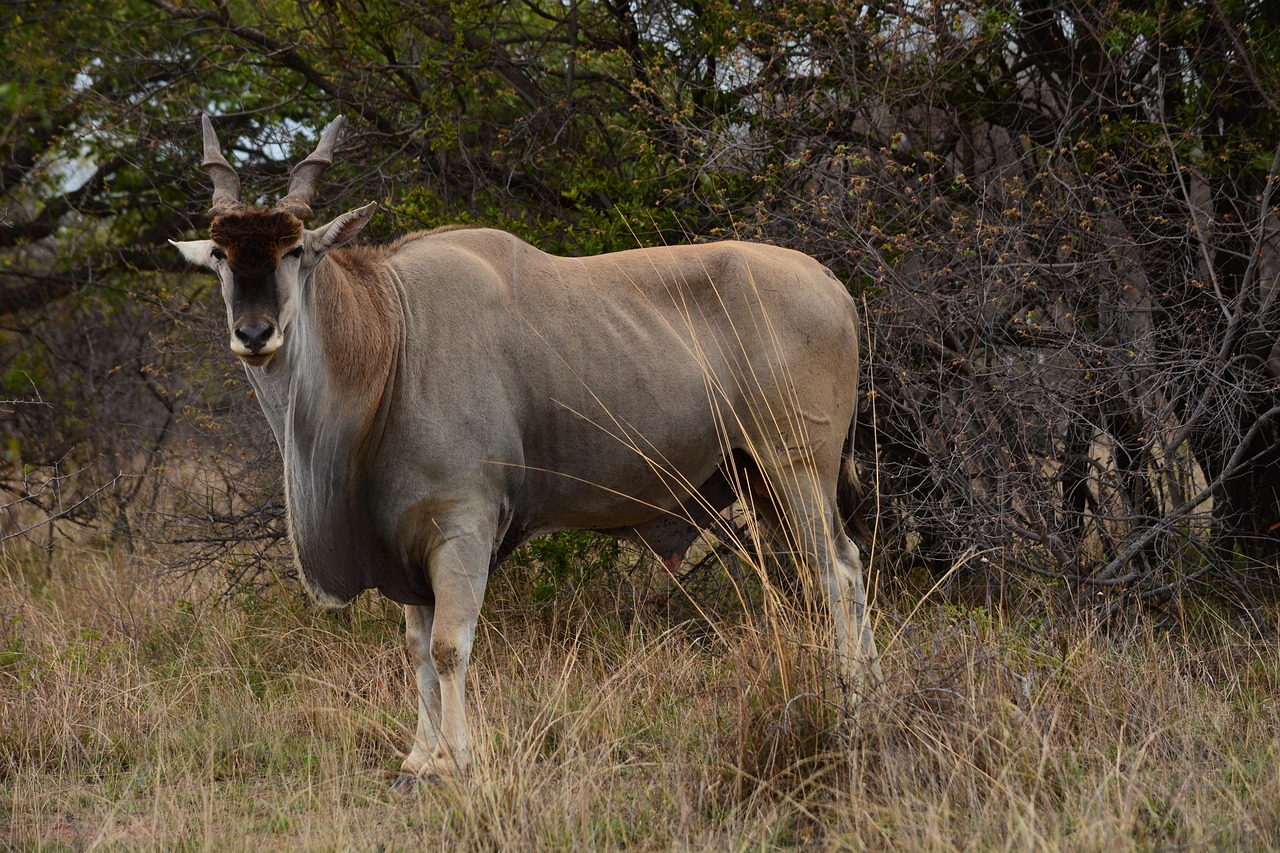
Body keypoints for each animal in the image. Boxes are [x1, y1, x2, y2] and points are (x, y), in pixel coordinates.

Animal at [171, 114, 880, 789]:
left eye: (294, 251)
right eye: (221, 255)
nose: (254, 333)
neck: (391, 335)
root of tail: (833, 286)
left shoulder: (461, 528)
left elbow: (449, 648)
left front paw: (457, 763)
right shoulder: (407, 547)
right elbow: (417, 649)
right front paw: (417, 762)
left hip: (794, 465)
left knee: (837, 571)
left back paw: (850, 714)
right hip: (757, 476)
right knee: (845, 562)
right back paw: (870, 700)